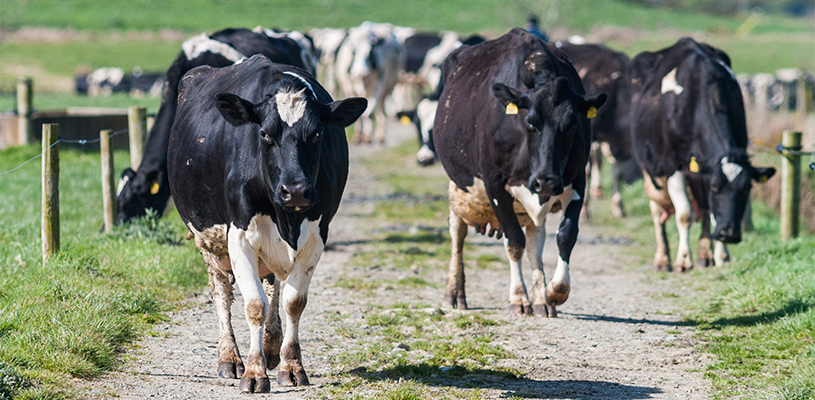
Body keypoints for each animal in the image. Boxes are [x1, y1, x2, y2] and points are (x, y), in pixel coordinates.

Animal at [167, 54, 366, 393]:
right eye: (264, 134)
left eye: (318, 134)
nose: (296, 190)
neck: (288, 217)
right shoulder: (239, 235)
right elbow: (254, 305)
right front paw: (254, 371)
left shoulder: (317, 235)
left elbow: (293, 301)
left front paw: (291, 365)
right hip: (208, 240)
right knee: (221, 291)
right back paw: (230, 358)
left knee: (273, 285)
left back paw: (271, 346)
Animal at [433, 28, 606, 317]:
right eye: (530, 122)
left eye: (572, 125)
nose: (546, 180)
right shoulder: (494, 184)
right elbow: (514, 241)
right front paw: (519, 298)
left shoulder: (576, 181)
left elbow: (565, 235)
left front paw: (553, 292)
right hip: (457, 184)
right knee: (458, 233)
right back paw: (454, 293)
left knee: (536, 241)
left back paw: (541, 299)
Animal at [628, 37, 775, 272]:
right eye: (716, 187)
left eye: (747, 188)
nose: (729, 234)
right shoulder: (672, 165)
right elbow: (684, 214)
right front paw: (683, 259)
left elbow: (711, 212)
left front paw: (720, 255)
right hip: (650, 171)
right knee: (657, 212)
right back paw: (663, 259)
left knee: (703, 210)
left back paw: (705, 253)